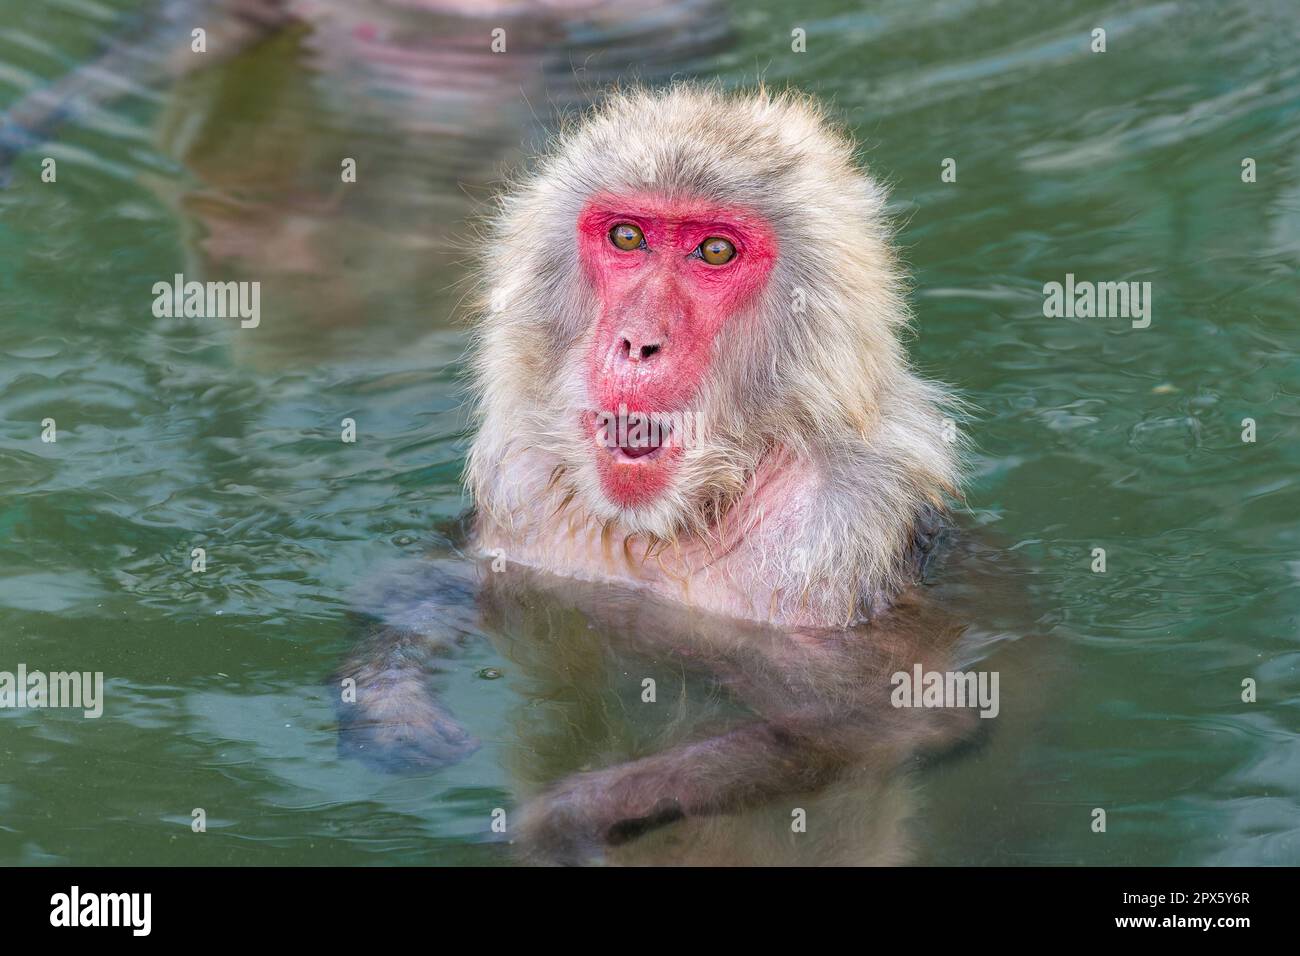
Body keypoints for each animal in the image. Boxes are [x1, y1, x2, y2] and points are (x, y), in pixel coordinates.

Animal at [335, 84, 993, 864]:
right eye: (628, 238)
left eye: (714, 250)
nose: (638, 341)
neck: (676, 520)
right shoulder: (526, 488)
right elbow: (451, 578)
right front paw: (390, 708)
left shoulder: (834, 536)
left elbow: (896, 721)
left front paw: (569, 815)